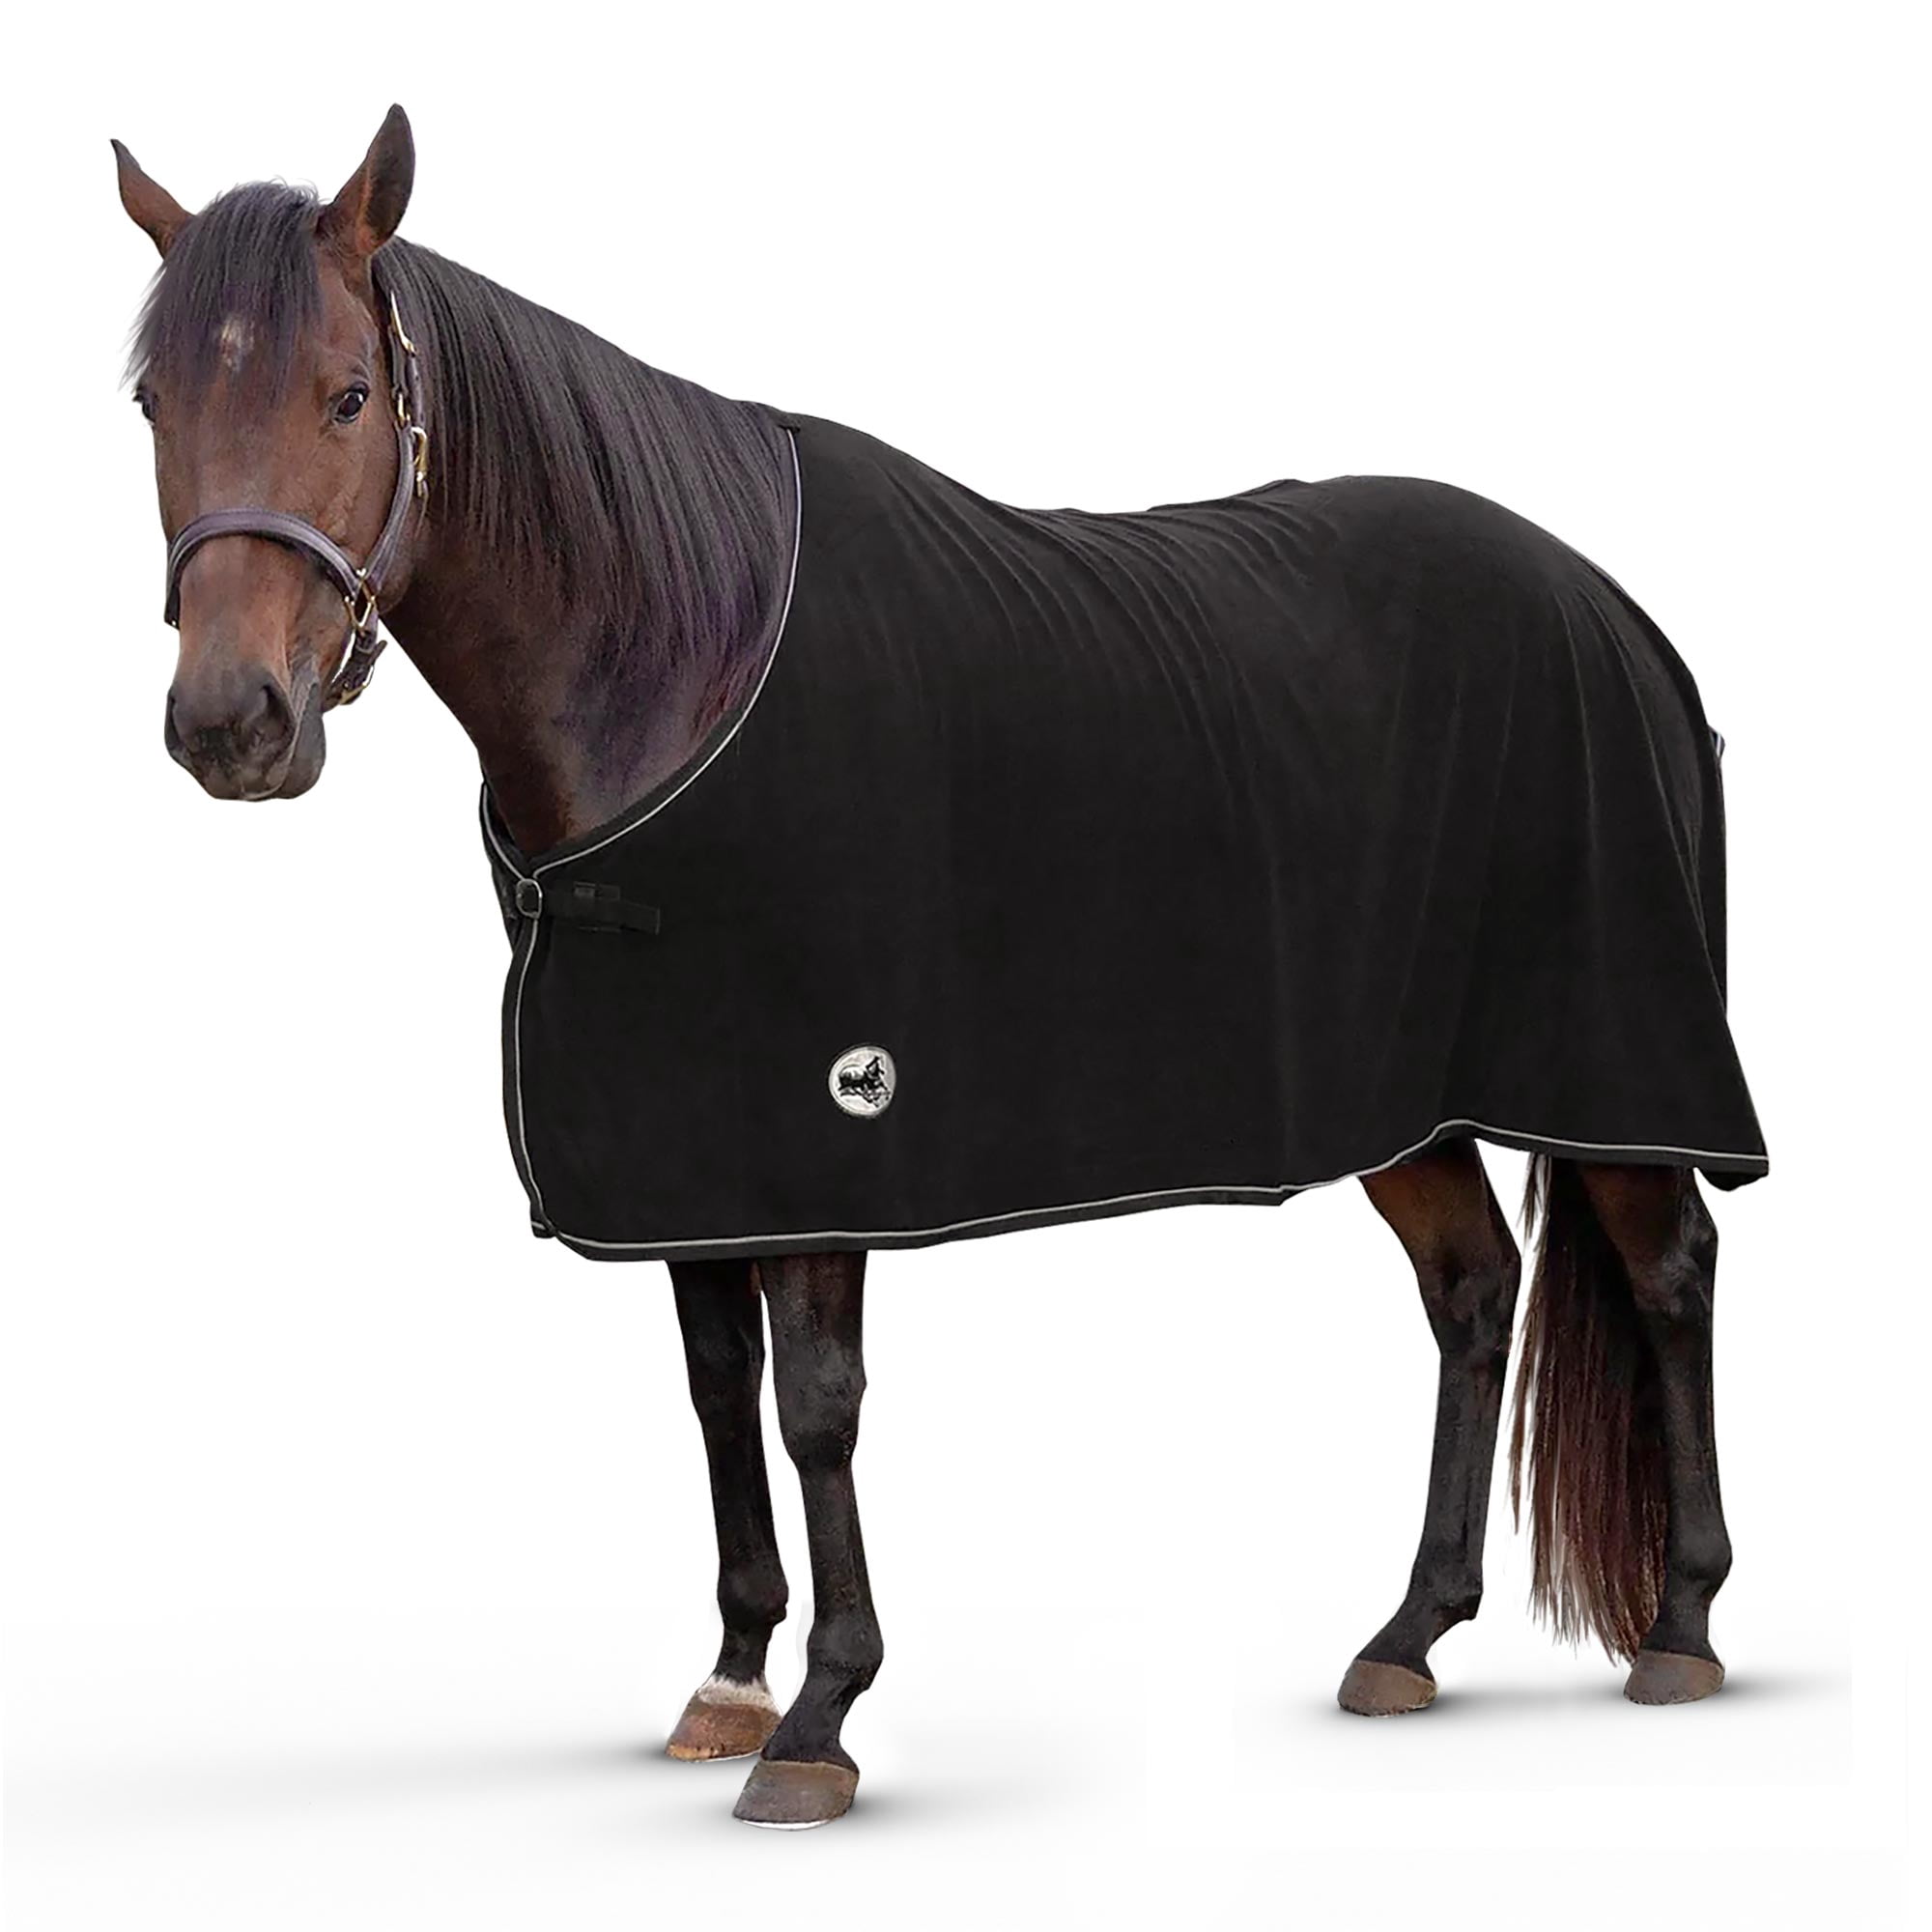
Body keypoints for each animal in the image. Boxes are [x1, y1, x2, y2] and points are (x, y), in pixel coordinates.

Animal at [113, 106, 1764, 1830]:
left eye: (347, 394)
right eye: (155, 401)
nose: (231, 727)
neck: (682, 665)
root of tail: (1612, 609)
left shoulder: (830, 1132)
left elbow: (815, 1406)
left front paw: (820, 1721)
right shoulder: (687, 1149)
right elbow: (718, 1390)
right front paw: (731, 1678)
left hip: (1611, 1060)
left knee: (1671, 1272)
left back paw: (1682, 1626)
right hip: (1406, 1098)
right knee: (1472, 1290)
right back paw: (1410, 1635)